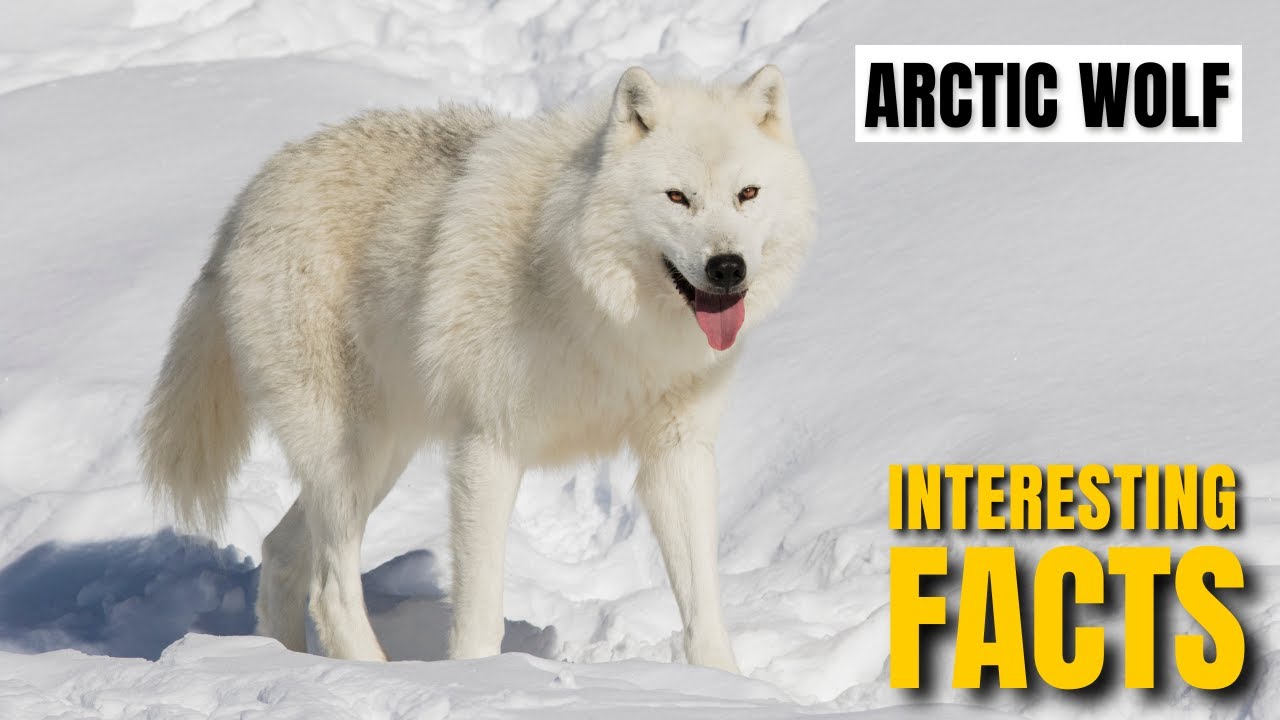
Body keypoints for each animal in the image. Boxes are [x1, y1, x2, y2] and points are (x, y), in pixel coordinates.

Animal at [140, 64, 816, 671]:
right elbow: (480, 608)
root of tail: (248, 198)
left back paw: (285, 665)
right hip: (351, 457)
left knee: (281, 551)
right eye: (678, 197)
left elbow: (703, 608)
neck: (605, 317)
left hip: (381, 458)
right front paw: (477, 682)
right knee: (331, 587)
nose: (727, 267)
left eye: (747, 195)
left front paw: (723, 686)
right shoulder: (488, 449)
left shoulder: (677, 455)